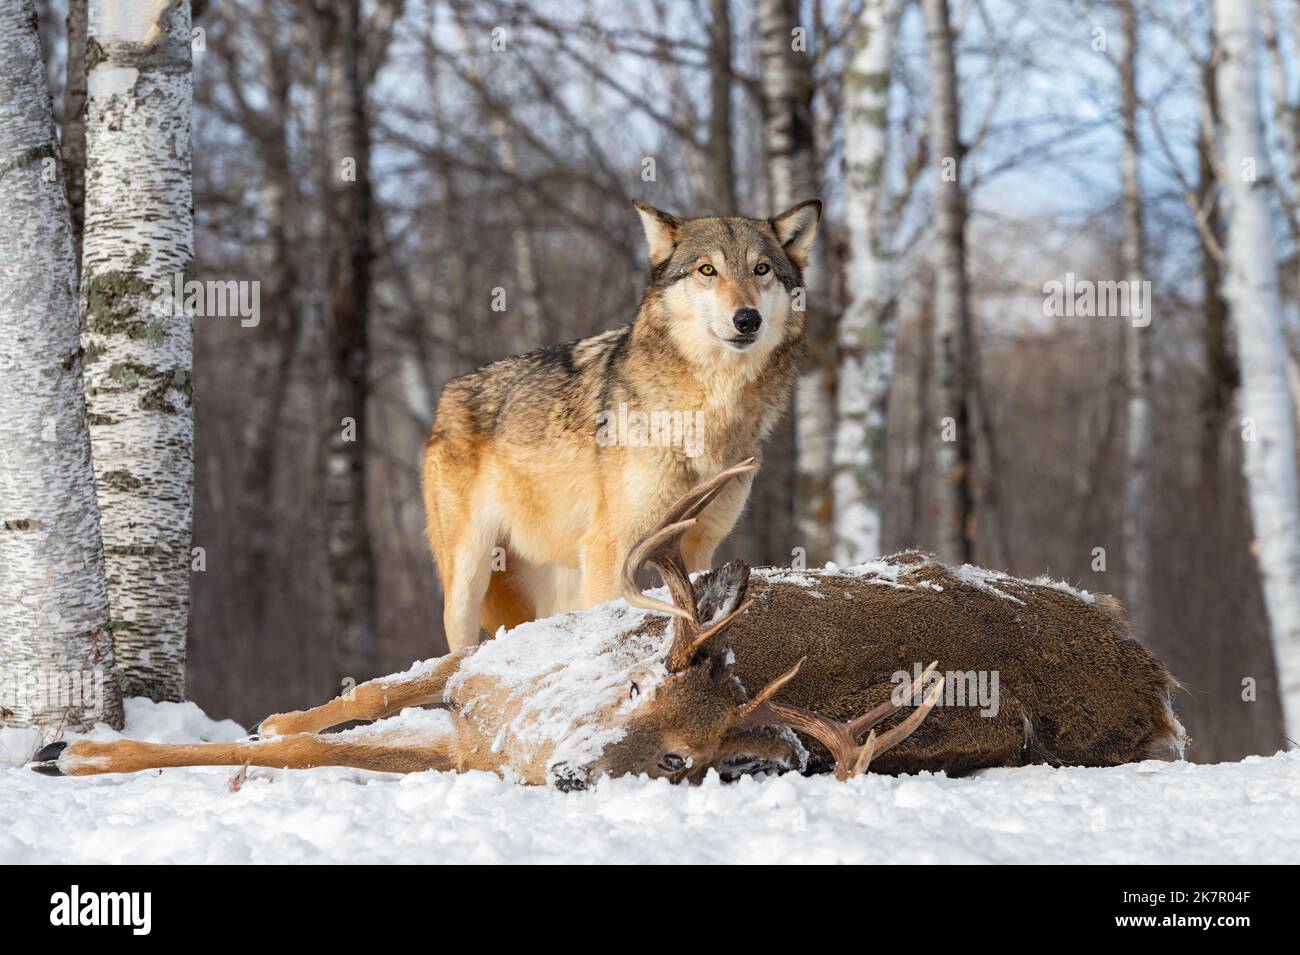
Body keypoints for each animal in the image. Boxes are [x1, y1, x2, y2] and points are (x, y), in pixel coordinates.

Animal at [29, 462, 1185, 787]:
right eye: (635, 688)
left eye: (685, 761)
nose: (576, 772)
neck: (519, 730)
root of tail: (1153, 676)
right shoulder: (499, 658)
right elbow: (367, 694)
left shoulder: (471, 751)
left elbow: (324, 751)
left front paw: (78, 751)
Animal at [422, 198, 822, 651]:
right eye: (707, 270)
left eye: (761, 269)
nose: (748, 319)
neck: (711, 407)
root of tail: (448, 394)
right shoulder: (611, 548)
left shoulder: (700, 543)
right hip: (469, 581)